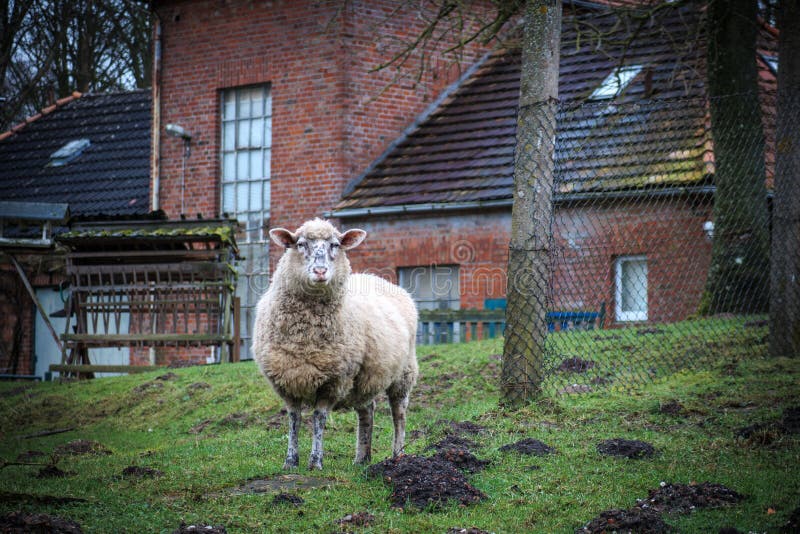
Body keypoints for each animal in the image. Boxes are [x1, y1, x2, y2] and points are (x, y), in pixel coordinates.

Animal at [252, 218, 418, 470]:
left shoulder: (333, 380)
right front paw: (290, 461)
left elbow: (318, 418)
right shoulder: (286, 380)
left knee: (399, 414)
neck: (305, 337)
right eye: (300, 244)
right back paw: (361, 458)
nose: (320, 271)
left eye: (335, 245)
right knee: (367, 410)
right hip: (365, 378)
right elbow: (294, 419)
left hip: (404, 373)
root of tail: (378, 279)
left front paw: (315, 462)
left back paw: (397, 455)